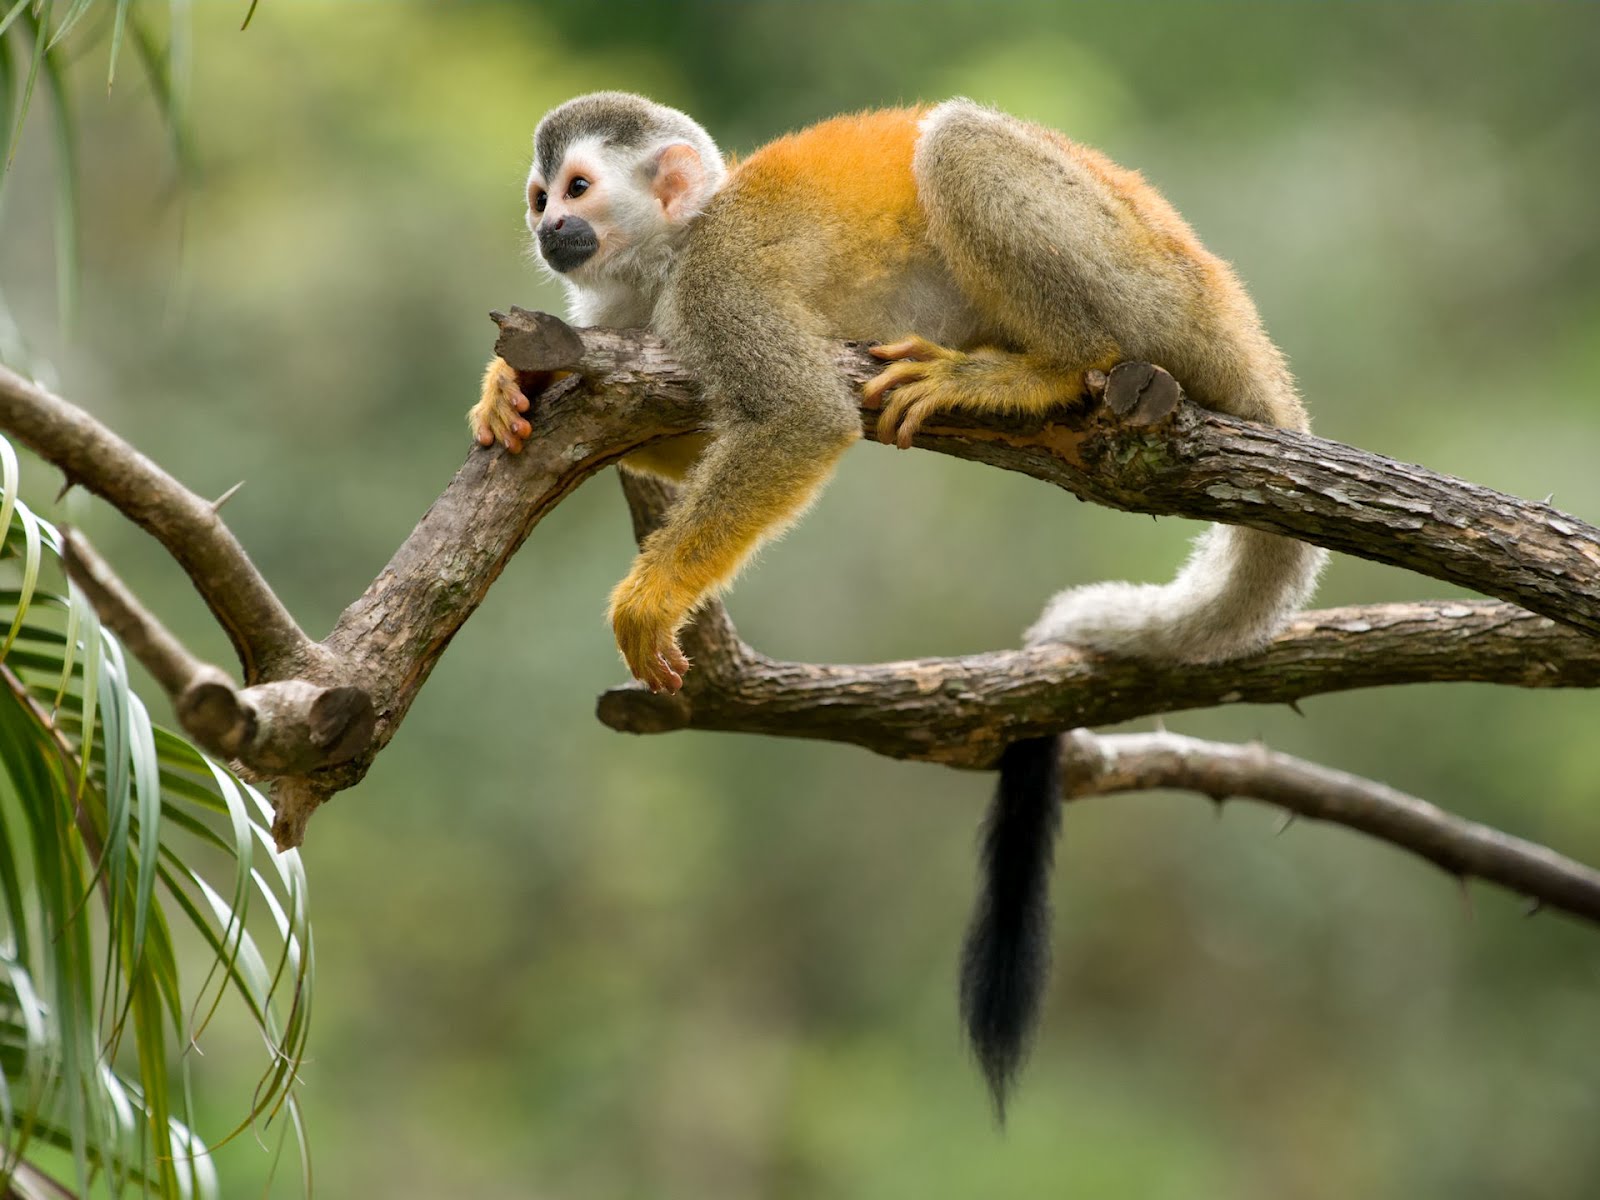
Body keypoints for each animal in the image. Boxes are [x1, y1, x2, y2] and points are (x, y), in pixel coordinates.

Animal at [468, 92, 1327, 1118]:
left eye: (580, 189)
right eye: (539, 195)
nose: (547, 228)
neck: (670, 253)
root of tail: (1239, 320)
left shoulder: (720, 286)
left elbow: (800, 419)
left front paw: (653, 598)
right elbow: (688, 435)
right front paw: (512, 384)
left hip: (1161, 295)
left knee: (961, 146)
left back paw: (1049, 368)